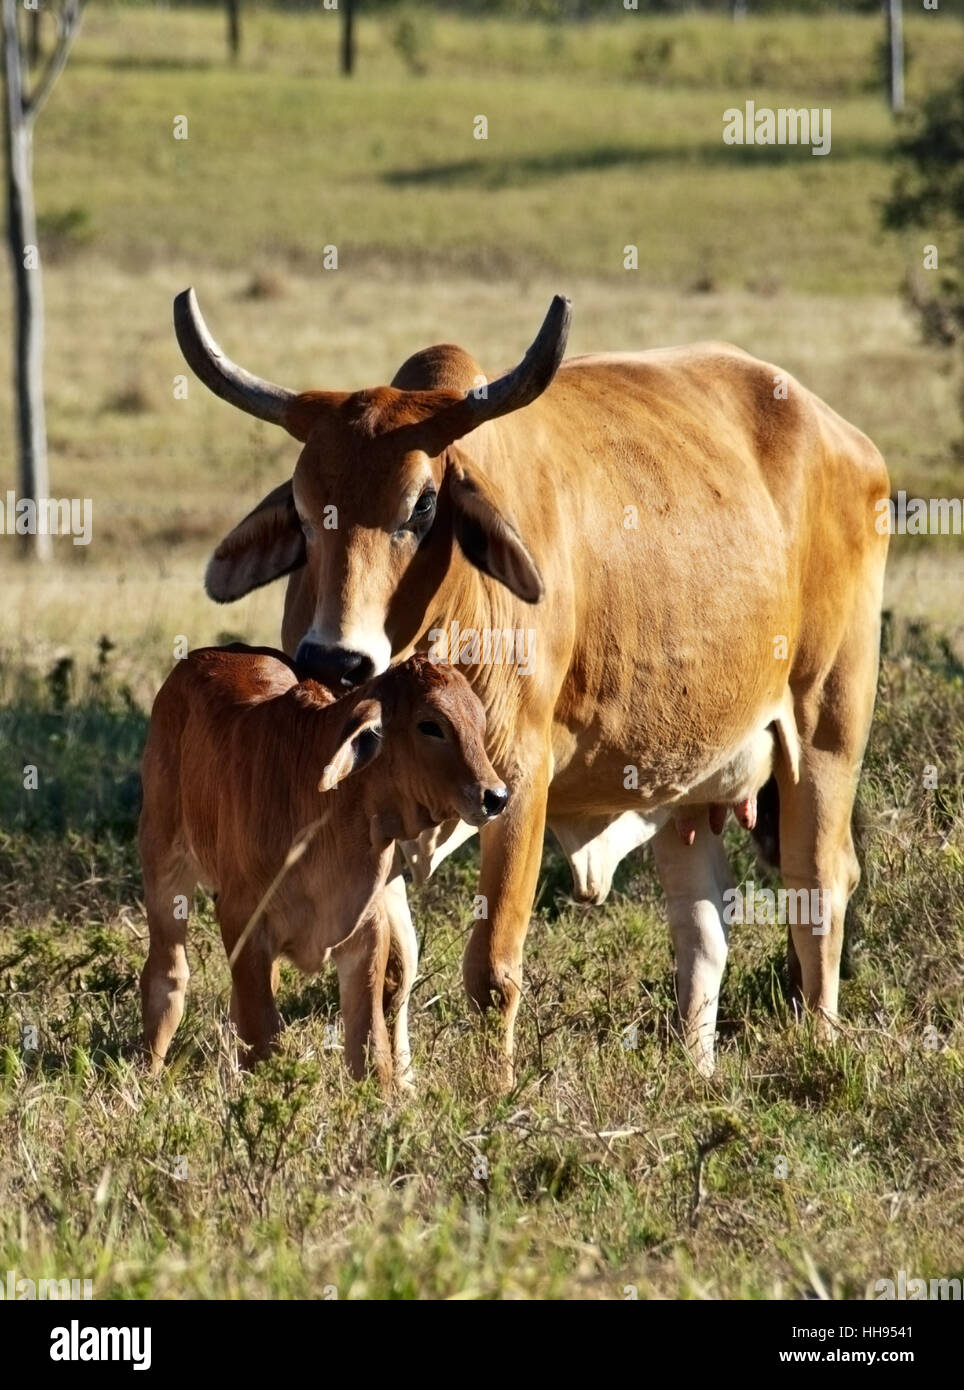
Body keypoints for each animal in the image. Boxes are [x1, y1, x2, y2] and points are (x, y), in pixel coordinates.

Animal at [139, 646, 506, 1086]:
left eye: (478, 720)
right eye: (430, 725)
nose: (495, 796)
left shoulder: (367, 929)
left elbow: (371, 1047)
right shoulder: (241, 918)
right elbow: (264, 1035)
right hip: (162, 858)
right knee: (166, 975)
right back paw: (149, 1074)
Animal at [173, 287, 890, 1079]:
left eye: (423, 505)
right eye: (302, 512)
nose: (335, 660)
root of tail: (842, 436)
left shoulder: (518, 779)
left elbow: (492, 967)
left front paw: (494, 1090)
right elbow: (392, 960)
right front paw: (398, 1088)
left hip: (825, 734)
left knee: (818, 888)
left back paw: (820, 1045)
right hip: (684, 783)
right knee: (702, 925)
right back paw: (695, 1068)